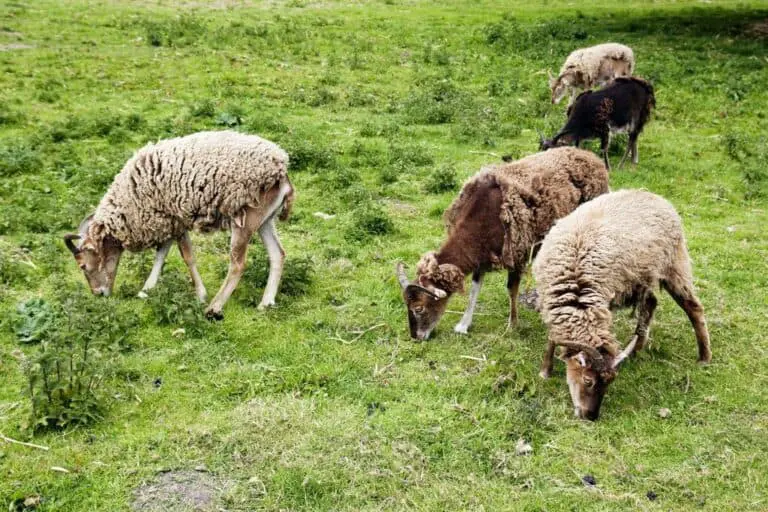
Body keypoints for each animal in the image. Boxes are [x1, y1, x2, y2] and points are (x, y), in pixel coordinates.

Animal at [63, 130, 294, 319]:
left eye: (83, 265)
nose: (98, 293)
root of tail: (282, 172)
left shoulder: (177, 220)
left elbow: (187, 257)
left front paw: (200, 295)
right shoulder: (166, 222)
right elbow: (161, 254)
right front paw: (146, 290)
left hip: (244, 221)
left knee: (237, 264)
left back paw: (214, 308)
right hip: (264, 220)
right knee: (278, 254)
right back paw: (266, 303)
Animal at [396, 147, 609, 341]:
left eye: (419, 308)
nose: (416, 337)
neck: (483, 214)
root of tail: (593, 157)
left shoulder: (517, 253)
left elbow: (511, 289)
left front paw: (512, 325)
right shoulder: (481, 255)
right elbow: (475, 288)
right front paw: (463, 325)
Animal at [534, 189, 711, 421]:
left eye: (609, 383)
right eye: (588, 380)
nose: (590, 416)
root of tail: (655, 196)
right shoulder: (552, 303)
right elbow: (552, 338)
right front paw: (545, 371)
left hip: (675, 264)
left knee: (694, 308)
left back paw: (704, 357)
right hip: (645, 277)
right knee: (651, 304)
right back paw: (637, 349)